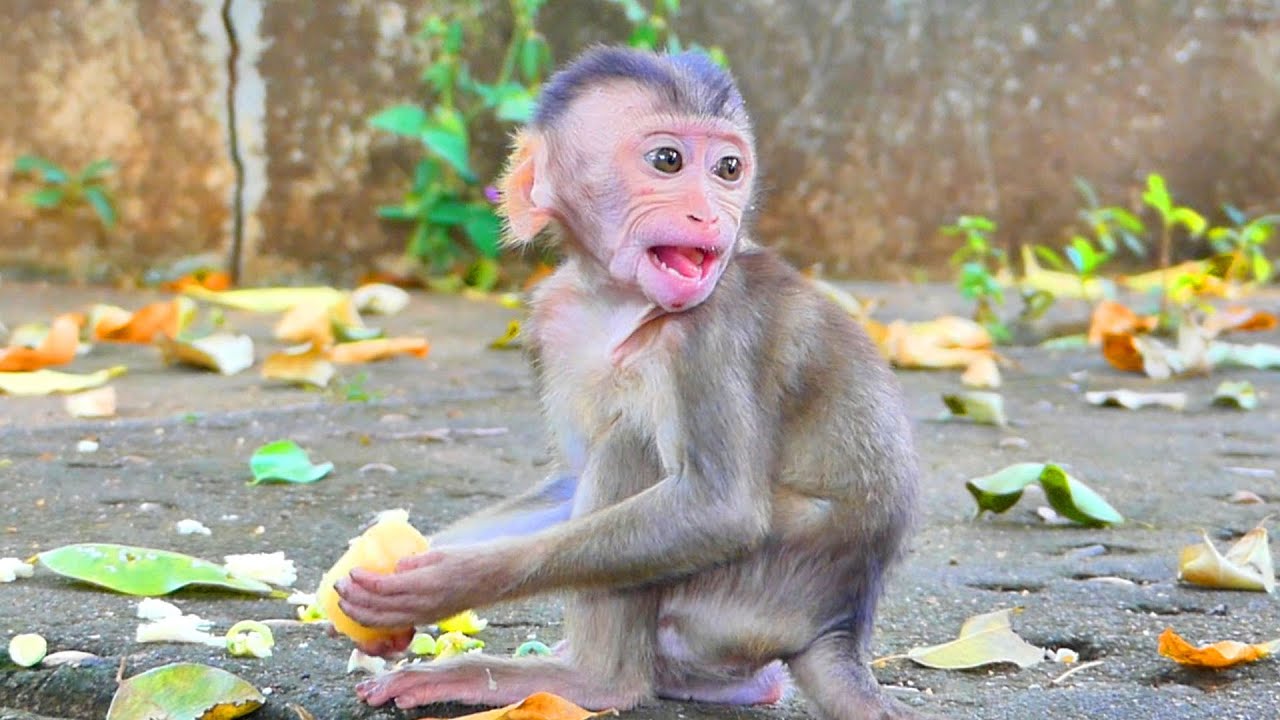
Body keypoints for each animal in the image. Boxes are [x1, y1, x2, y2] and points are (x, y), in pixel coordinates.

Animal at [335, 46, 927, 720]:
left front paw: (448, 581)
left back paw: (586, 681)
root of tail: (838, 625)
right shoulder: (552, 317)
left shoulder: (708, 331)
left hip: (754, 594)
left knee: (633, 446)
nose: (710, 211)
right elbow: (570, 483)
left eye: (728, 168)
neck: (620, 302)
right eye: (668, 160)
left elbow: (720, 509)